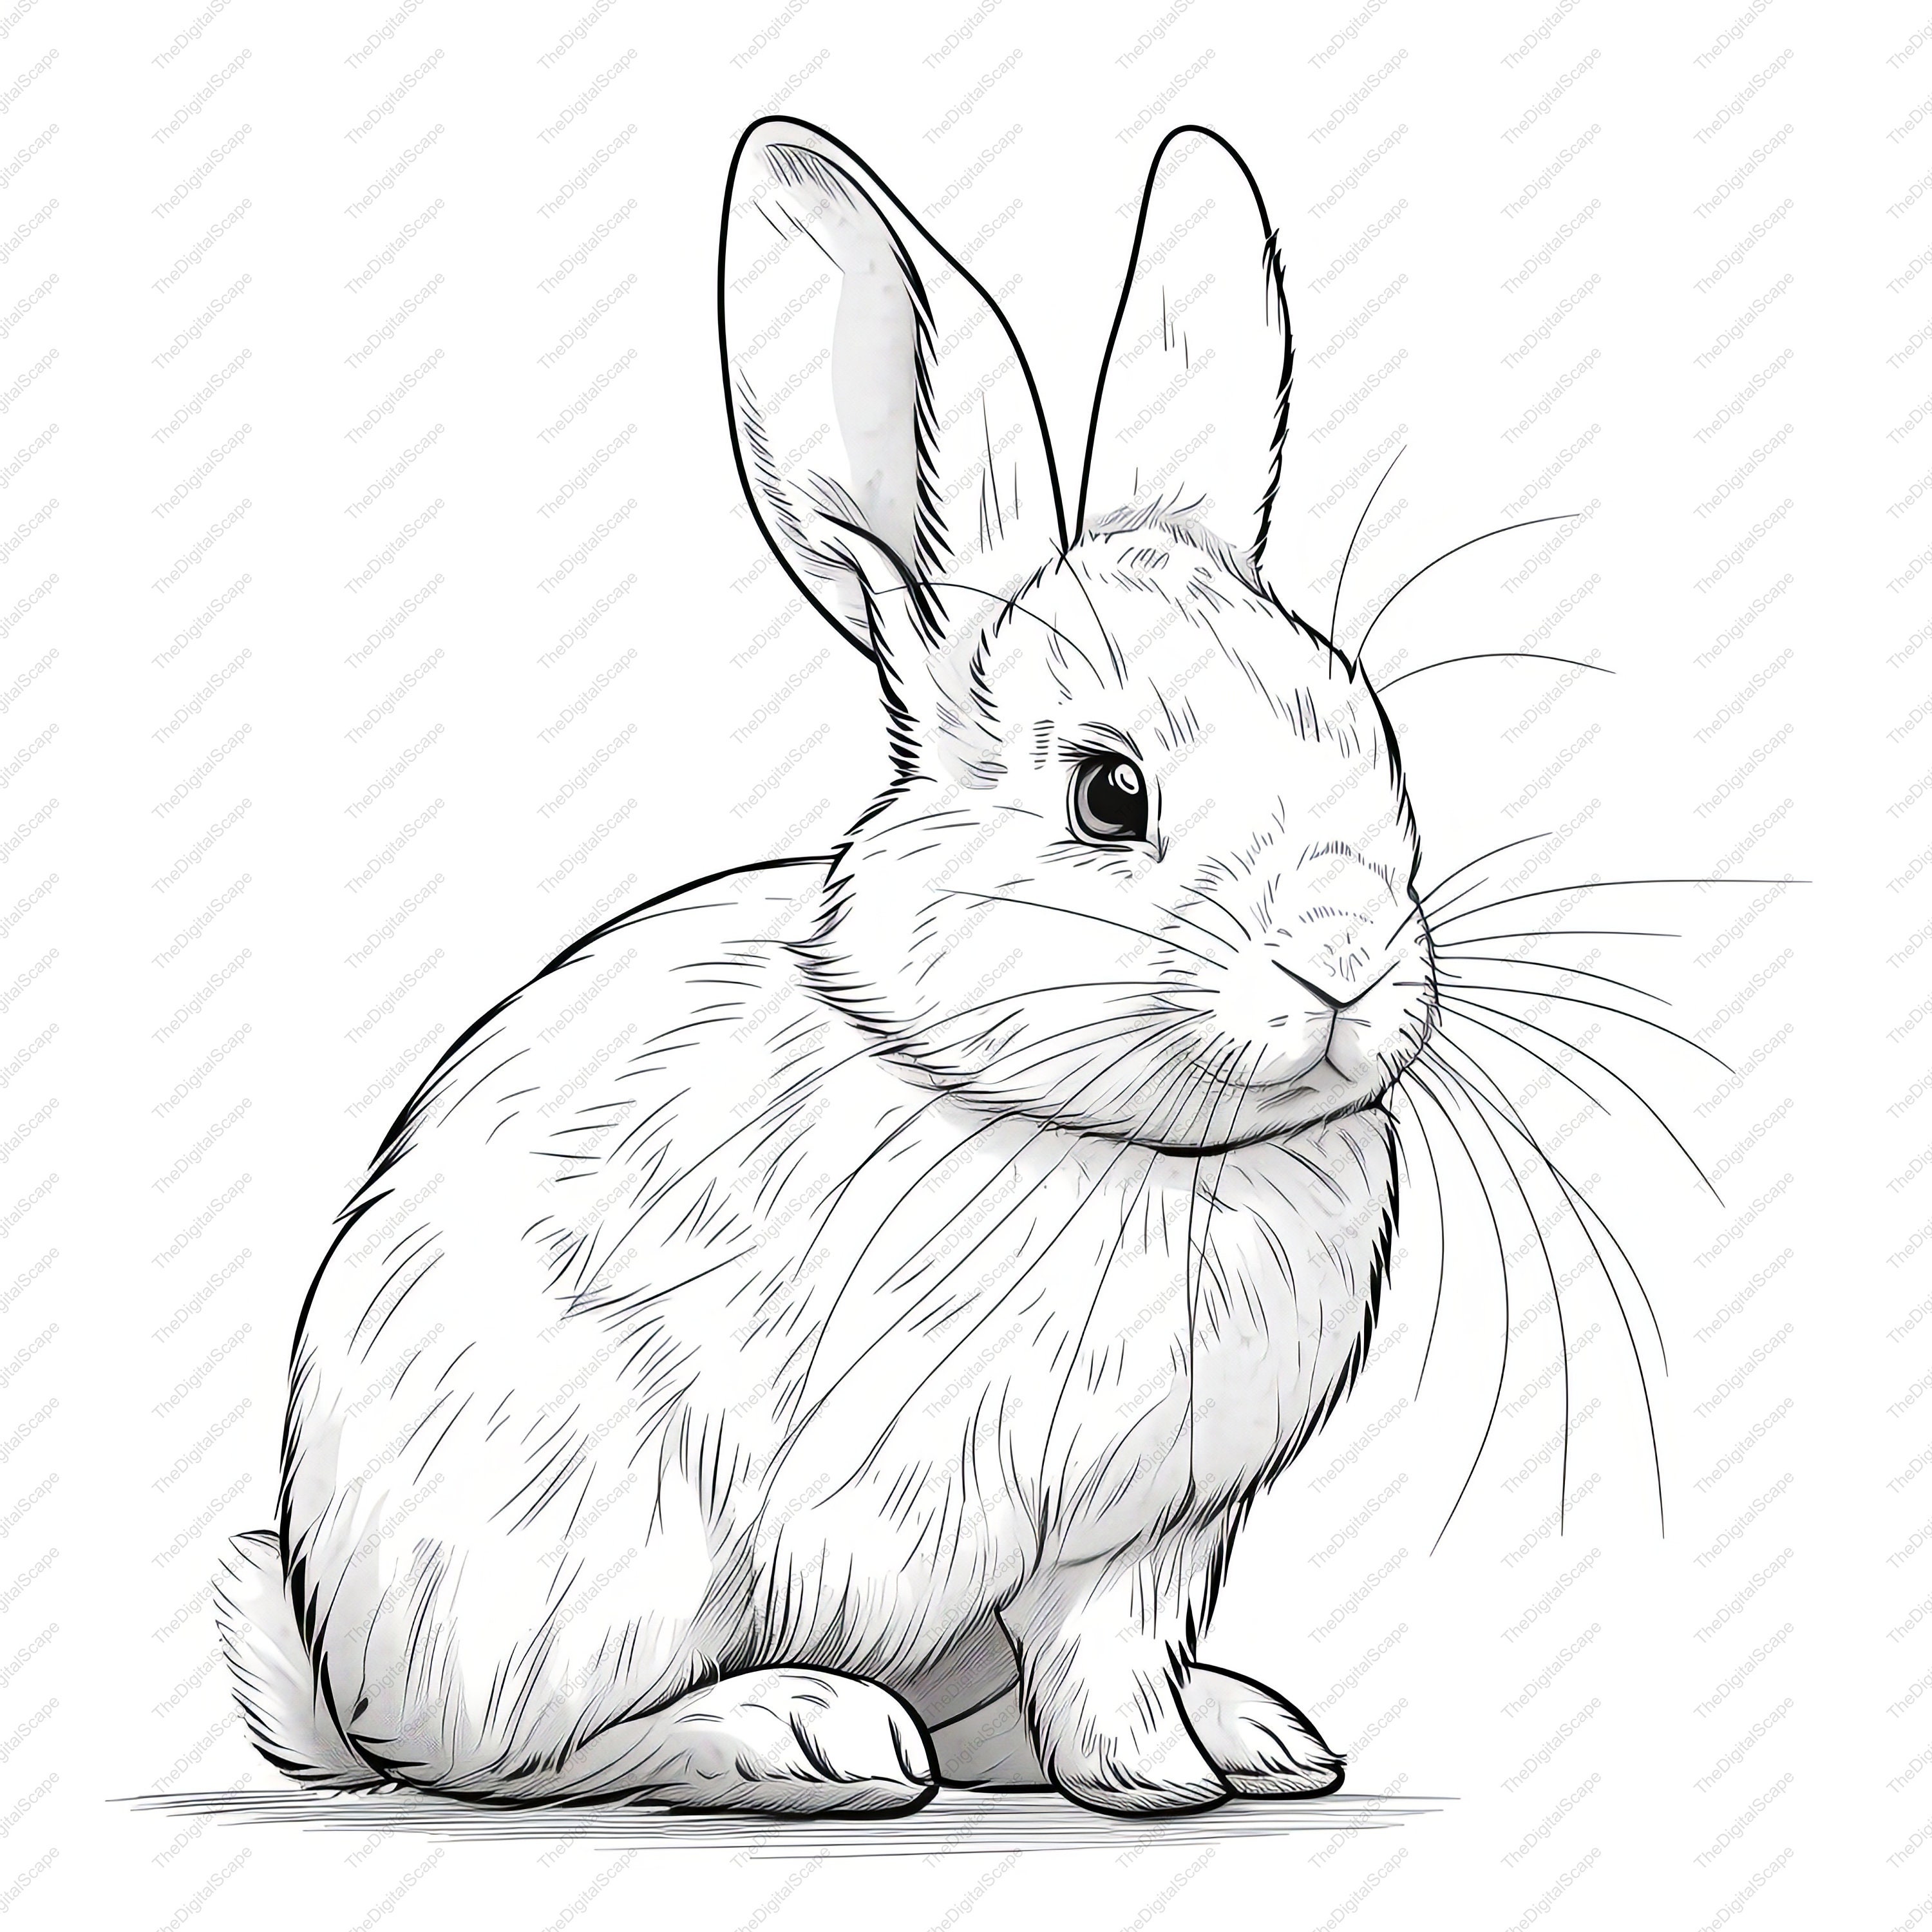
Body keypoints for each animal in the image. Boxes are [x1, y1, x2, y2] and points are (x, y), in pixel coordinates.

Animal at [216, 117, 1439, 1817]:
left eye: (1377, 742)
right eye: (1109, 794)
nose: (1343, 968)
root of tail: (336, 1665)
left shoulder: (1152, 1536)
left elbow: (1105, 1656)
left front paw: (1177, 1764)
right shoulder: (1048, 1527)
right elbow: (1098, 1672)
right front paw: (1154, 1783)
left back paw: (1253, 1726)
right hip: (600, 1564)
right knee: (530, 1757)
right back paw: (802, 1734)